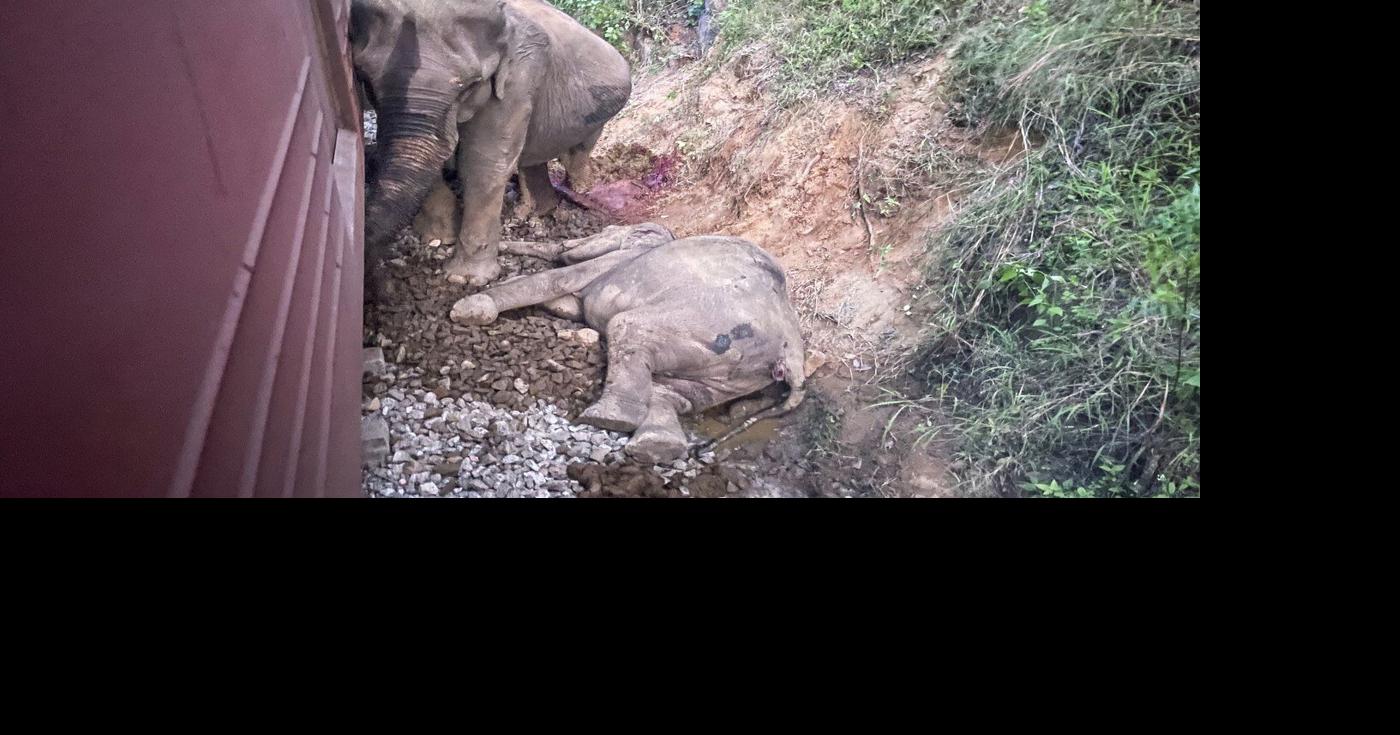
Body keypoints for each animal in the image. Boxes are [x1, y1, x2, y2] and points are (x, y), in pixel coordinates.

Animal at [351, 0, 632, 296]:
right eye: (366, 80)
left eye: (468, 86)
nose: (380, 286)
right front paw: (438, 236)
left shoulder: (519, 75)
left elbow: (483, 164)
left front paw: (465, 278)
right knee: (532, 159)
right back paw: (536, 212)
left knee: (574, 154)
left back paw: (578, 190)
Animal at [448, 223, 808, 464]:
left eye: (605, 230)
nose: (503, 246)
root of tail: (792, 352)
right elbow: (569, 303)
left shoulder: (620, 260)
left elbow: (560, 280)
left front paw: (470, 309)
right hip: (730, 375)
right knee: (673, 395)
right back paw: (655, 447)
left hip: (708, 334)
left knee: (628, 329)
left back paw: (607, 419)